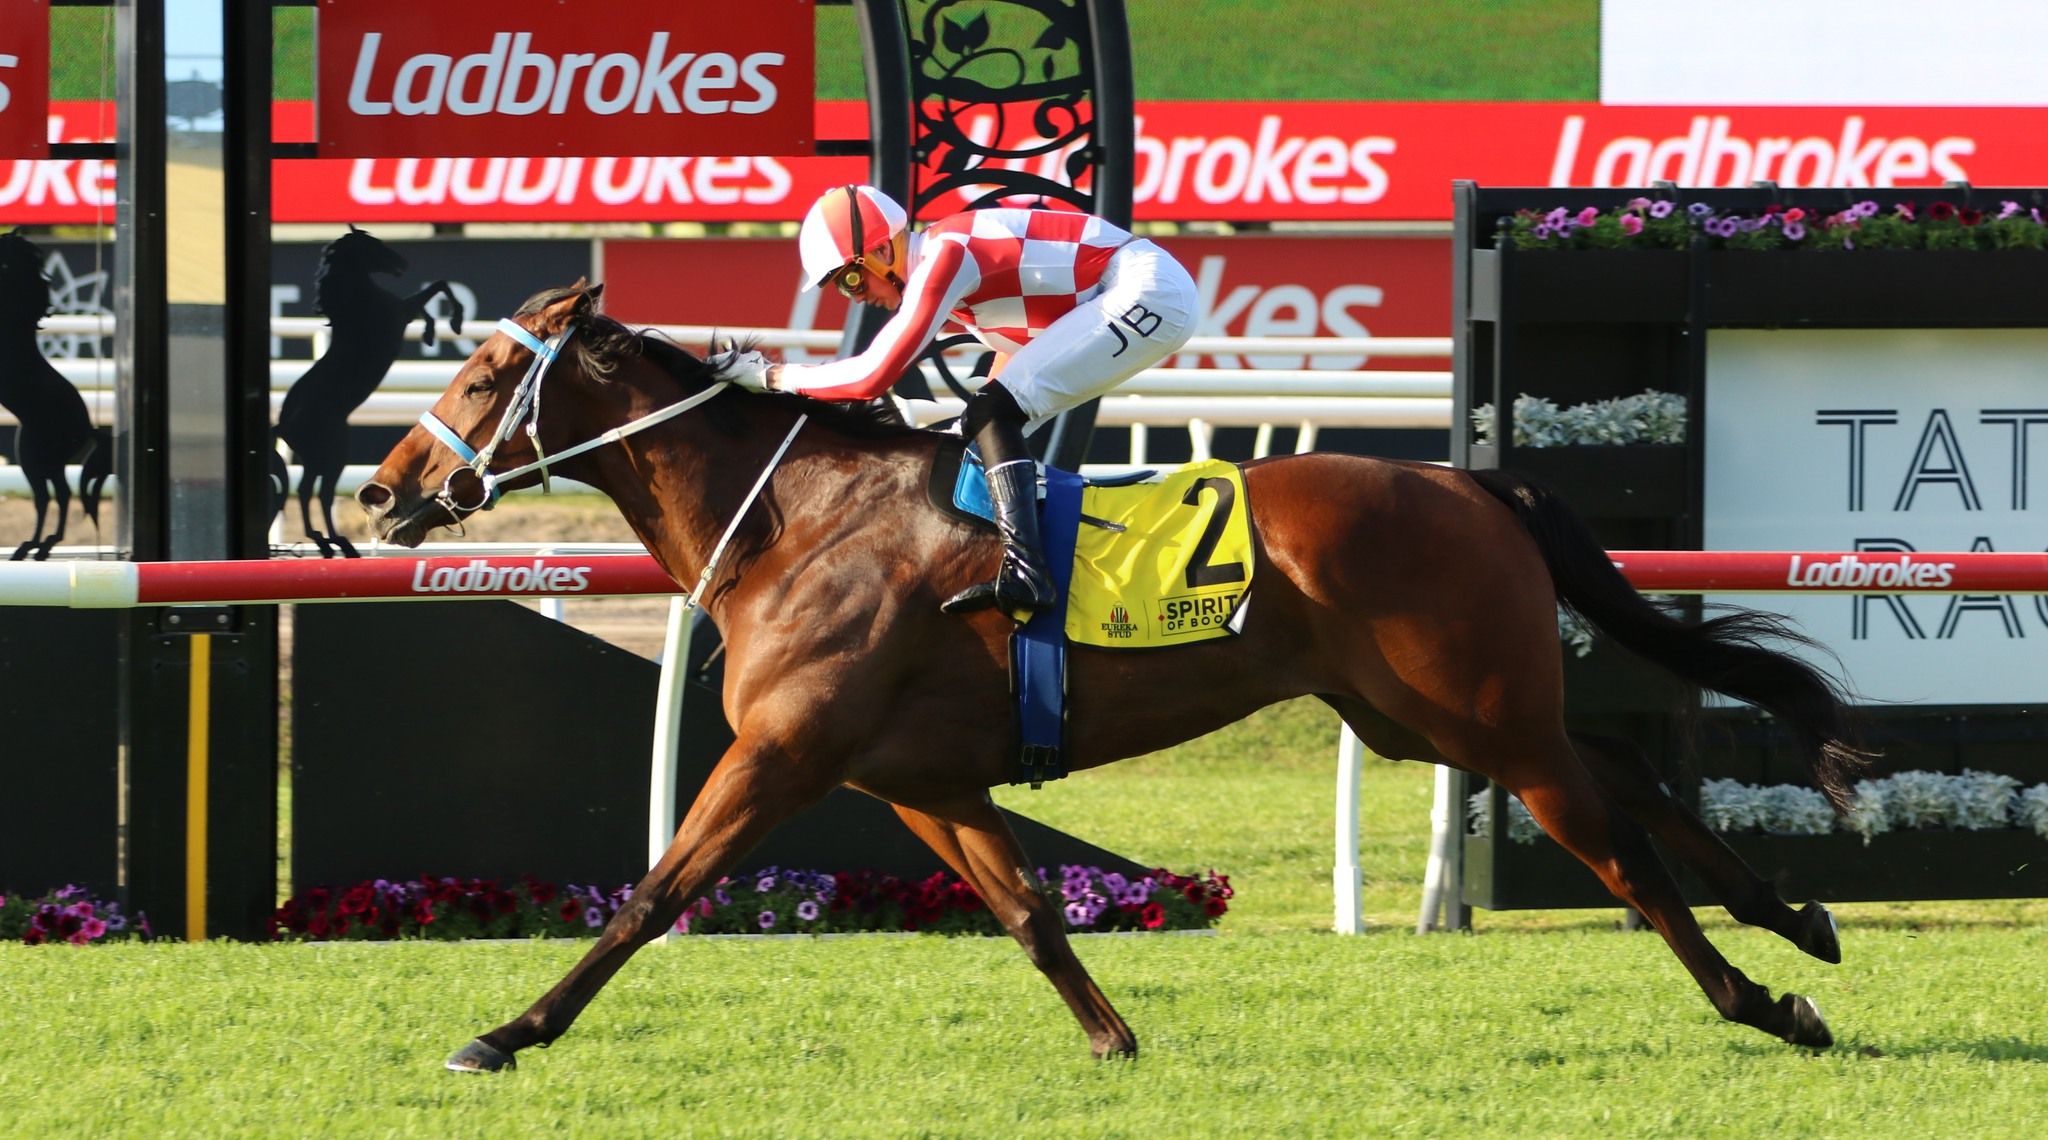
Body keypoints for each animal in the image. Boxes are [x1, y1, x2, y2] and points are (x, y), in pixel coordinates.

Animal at [0, 230, 112, 561]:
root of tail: (88, 428)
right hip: (46, 459)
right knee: (59, 494)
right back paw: (40, 545)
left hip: (33, 456)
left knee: (48, 497)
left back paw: (33, 547)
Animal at [273, 224, 464, 557]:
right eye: (372, 246)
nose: (403, 264)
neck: (354, 300)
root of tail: (282, 424)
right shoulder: (401, 311)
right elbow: (435, 289)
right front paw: (451, 322)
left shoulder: (402, 311)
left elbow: (429, 300)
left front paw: (431, 333)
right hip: (334, 451)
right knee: (319, 491)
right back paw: (338, 543)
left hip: (316, 457)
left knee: (308, 490)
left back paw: (327, 542)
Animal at [358, 283, 1869, 1073]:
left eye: (486, 373)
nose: (383, 489)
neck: (793, 524)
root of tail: (1465, 478)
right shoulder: (917, 778)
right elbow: (1028, 913)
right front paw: (1115, 1044)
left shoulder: (783, 755)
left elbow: (653, 893)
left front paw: (504, 1032)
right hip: (1422, 713)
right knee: (1623, 770)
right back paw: (1798, 922)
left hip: (1477, 713)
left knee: (1618, 847)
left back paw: (1763, 995)